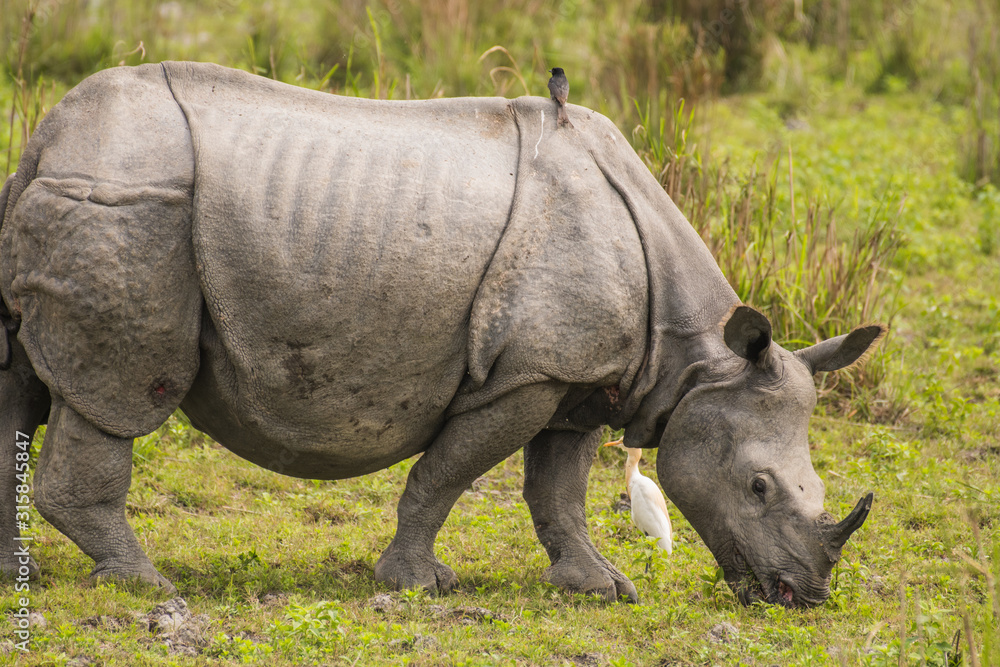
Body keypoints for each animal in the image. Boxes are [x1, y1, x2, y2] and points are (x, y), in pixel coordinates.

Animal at [0, 62, 882, 607]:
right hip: (128, 202)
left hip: (81, 189)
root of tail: (43, 140)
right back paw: (146, 585)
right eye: (759, 487)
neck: (700, 360)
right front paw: (417, 585)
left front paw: (600, 589)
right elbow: (449, 472)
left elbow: (558, 490)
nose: (804, 596)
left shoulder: (578, 375)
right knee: (115, 396)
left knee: (20, 392)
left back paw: (21, 579)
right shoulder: (525, 373)